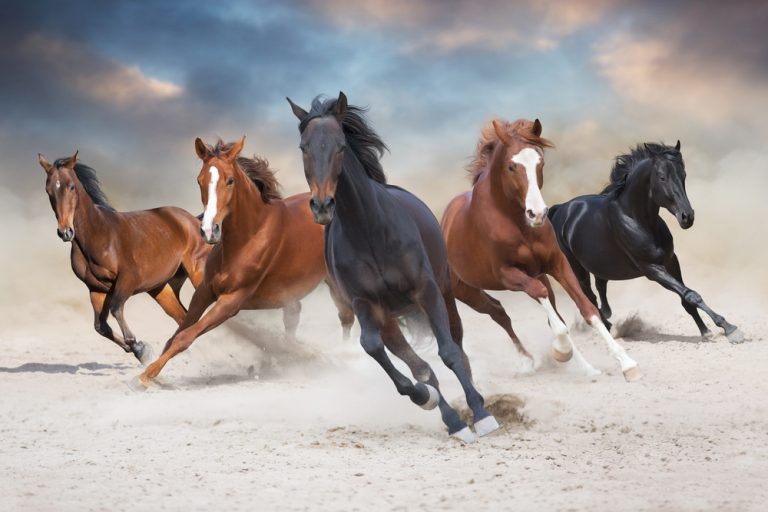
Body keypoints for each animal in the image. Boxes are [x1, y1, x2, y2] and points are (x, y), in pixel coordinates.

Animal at [37, 151, 210, 364]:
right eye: (48, 190)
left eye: (71, 186)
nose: (65, 232)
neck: (99, 235)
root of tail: (192, 220)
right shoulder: (95, 289)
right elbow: (100, 326)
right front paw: (140, 350)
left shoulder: (128, 279)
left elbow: (116, 309)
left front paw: (141, 348)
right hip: (161, 287)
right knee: (183, 316)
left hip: (197, 271)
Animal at [130, 137, 354, 388]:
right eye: (200, 180)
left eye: (230, 181)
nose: (209, 231)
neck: (248, 237)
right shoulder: (205, 291)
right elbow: (177, 334)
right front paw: (153, 371)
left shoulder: (231, 302)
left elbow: (186, 337)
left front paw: (144, 377)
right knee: (294, 318)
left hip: (335, 283)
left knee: (346, 317)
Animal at [285, 92, 498, 442]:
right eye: (303, 147)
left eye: (340, 145)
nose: (322, 206)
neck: (369, 230)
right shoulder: (365, 305)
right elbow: (381, 352)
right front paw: (426, 399)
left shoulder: (426, 290)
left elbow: (449, 352)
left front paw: (482, 417)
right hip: (389, 318)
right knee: (416, 364)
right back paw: (451, 419)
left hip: (445, 292)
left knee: (458, 345)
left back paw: (477, 405)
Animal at [441, 118, 641, 382]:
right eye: (511, 166)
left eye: (540, 162)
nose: (536, 214)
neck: (516, 223)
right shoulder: (508, 274)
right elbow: (557, 321)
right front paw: (561, 351)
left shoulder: (556, 264)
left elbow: (587, 310)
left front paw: (628, 364)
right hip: (464, 291)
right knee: (494, 315)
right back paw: (525, 362)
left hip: (537, 276)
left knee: (514, 312)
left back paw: (585, 368)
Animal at [548, 141, 743, 342]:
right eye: (662, 177)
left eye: (684, 175)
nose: (687, 217)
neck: (639, 220)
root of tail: (561, 208)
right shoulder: (651, 269)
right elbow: (691, 294)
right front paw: (730, 329)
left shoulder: (671, 261)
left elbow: (686, 299)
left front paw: (705, 331)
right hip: (576, 267)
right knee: (588, 295)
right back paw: (608, 327)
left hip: (599, 264)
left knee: (600, 285)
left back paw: (608, 315)